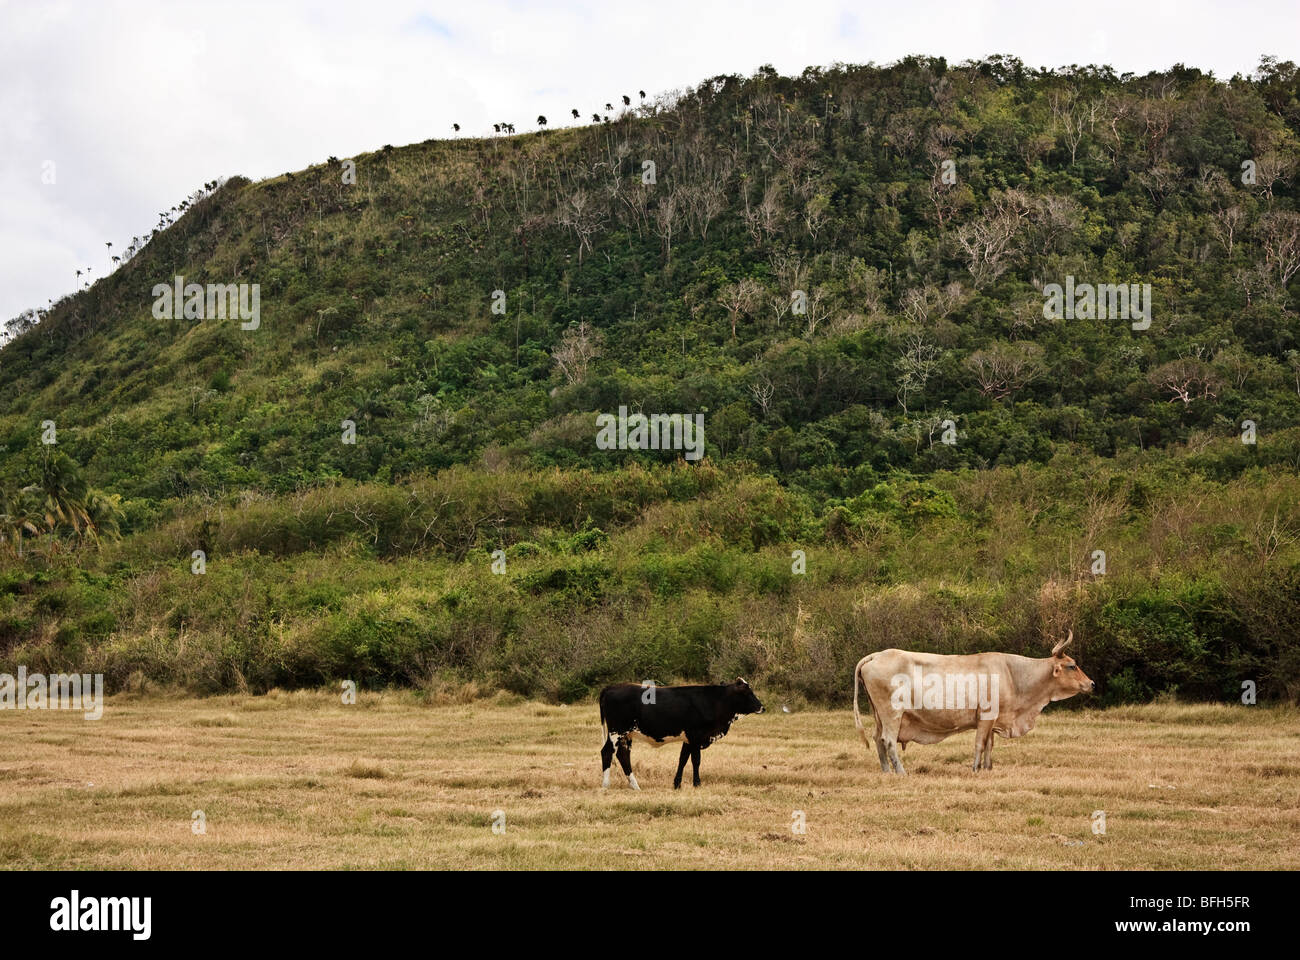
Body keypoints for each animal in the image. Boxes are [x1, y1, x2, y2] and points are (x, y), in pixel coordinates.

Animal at [598, 679, 764, 790]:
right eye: (748, 693)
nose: (762, 707)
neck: (714, 701)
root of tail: (610, 687)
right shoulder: (696, 736)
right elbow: (696, 760)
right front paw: (697, 783)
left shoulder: (688, 738)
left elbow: (683, 759)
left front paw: (677, 784)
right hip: (616, 732)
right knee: (607, 752)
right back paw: (606, 785)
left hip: (626, 735)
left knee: (623, 756)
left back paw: (635, 786)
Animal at [852, 632, 1095, 774]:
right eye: (1072, 665)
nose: (1091, 683)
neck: (1012, 674)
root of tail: (876, 655)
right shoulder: (986, 715)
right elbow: (980, 743)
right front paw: (976, 769)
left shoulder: (993, 719)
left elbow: (989, 745)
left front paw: (988, 768)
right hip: (892, 713)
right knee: (888, 741)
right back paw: (901, 772)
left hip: (879, 715)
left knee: (877, 739)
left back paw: (886, 771)